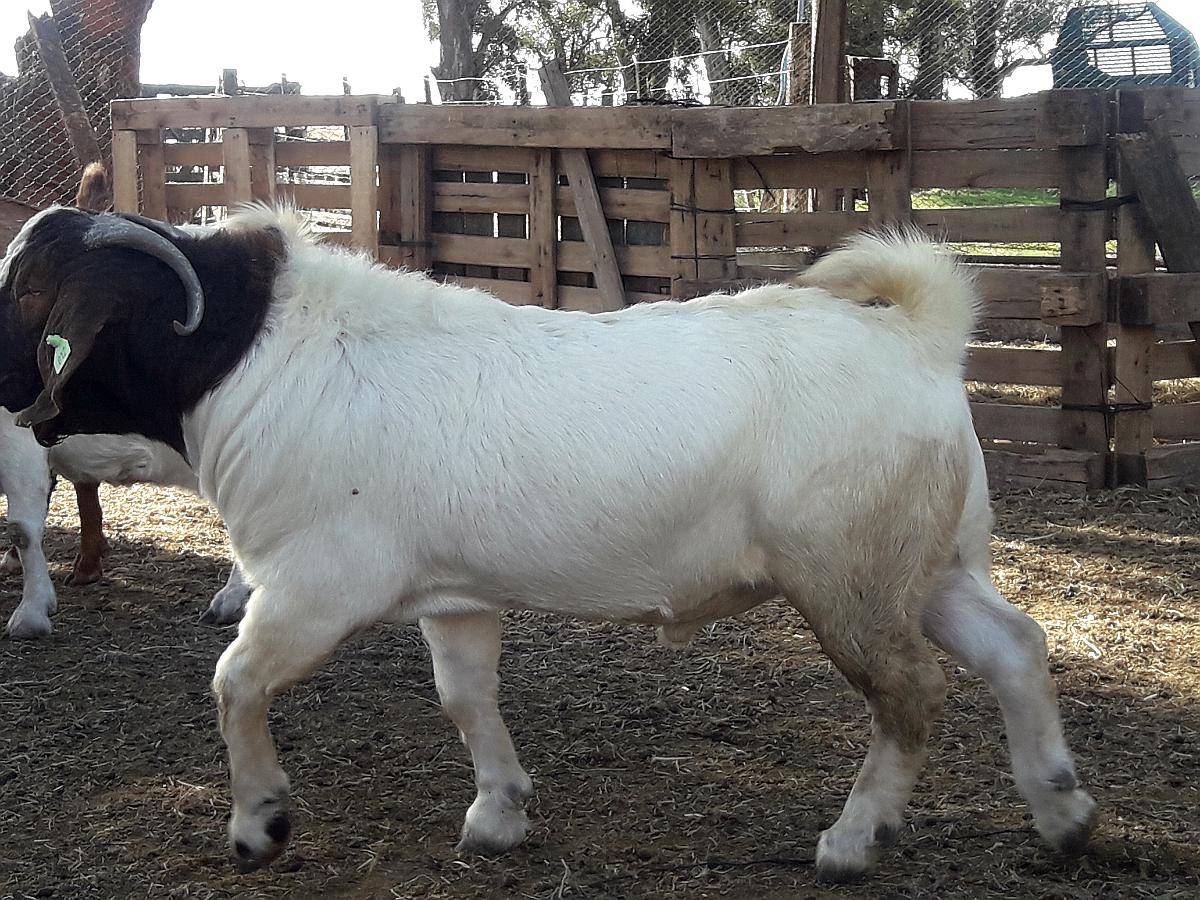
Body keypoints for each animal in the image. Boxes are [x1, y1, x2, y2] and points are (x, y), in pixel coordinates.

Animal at [0, 205, 1096, 881]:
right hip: (929, 560)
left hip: (849, 571)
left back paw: (854, 840)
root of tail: (917, 339)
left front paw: (259, 823)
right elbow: (465, 698)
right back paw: (1065, 813)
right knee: (1016, 646)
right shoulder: (454, 596)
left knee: (911, 691)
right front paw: (498, 814)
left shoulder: (315, 583)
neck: (259, 356)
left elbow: (234, 681)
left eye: (27, 296)